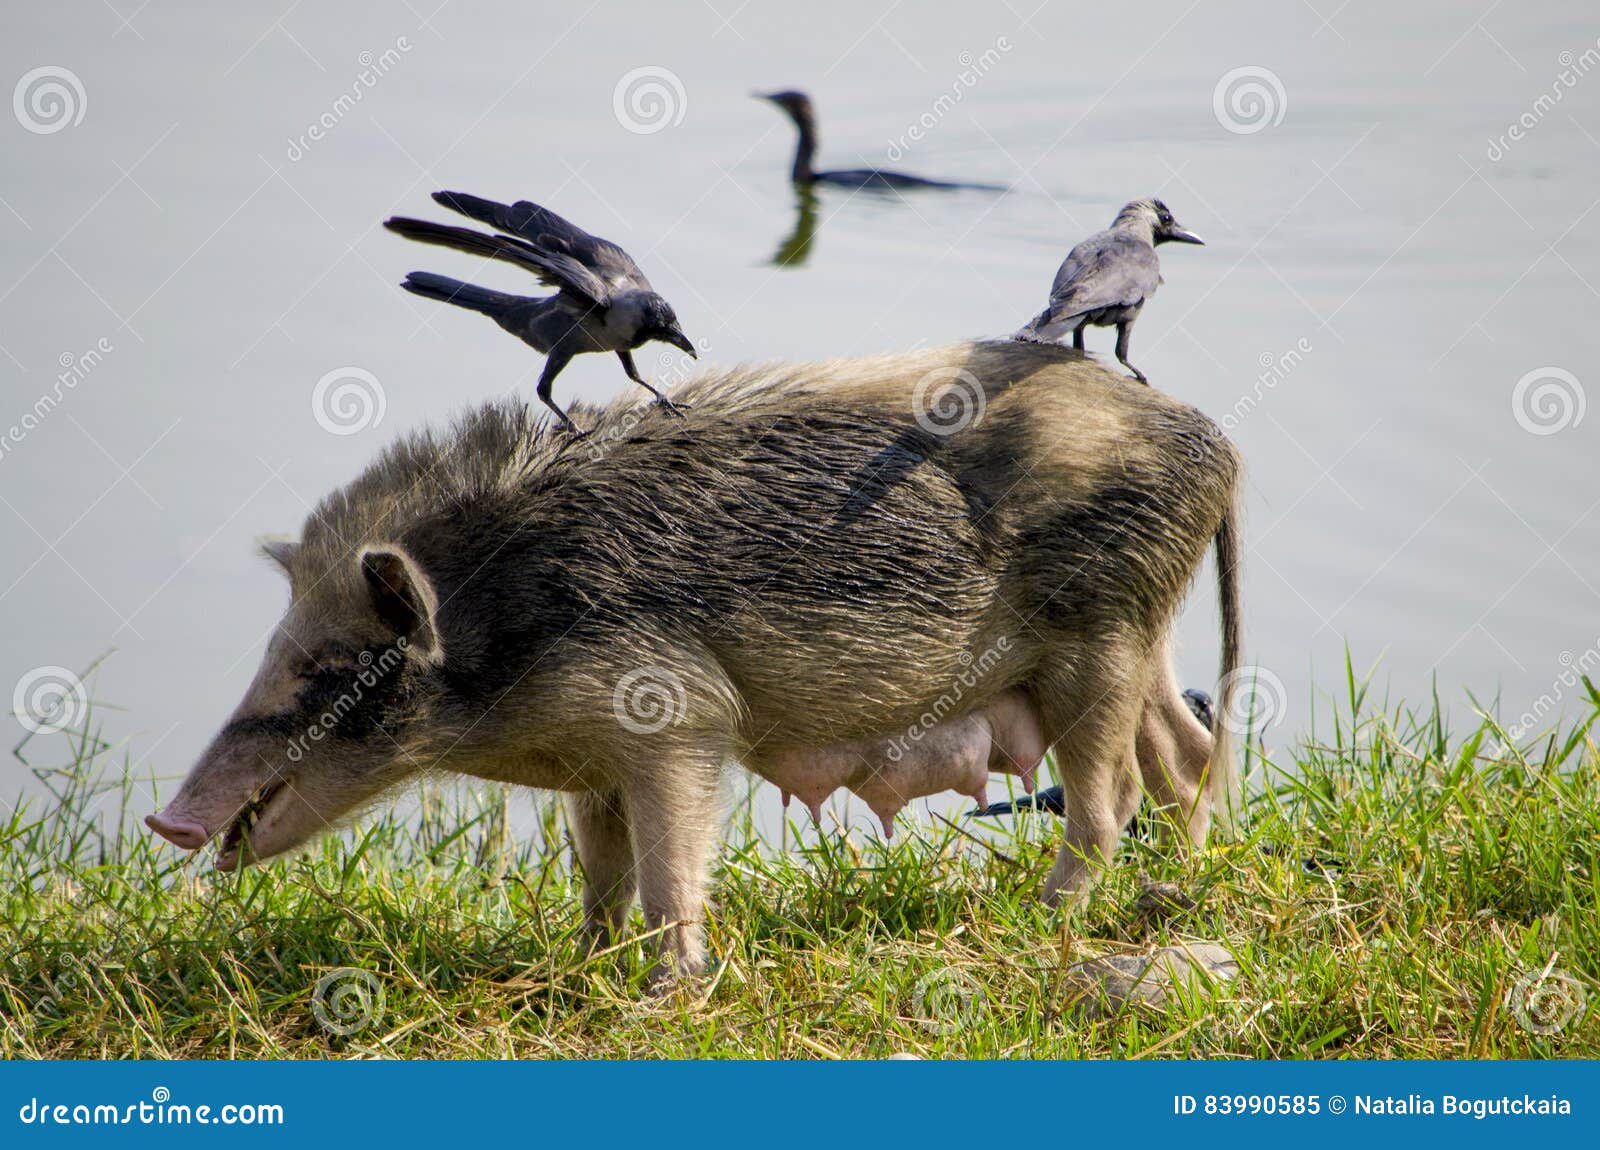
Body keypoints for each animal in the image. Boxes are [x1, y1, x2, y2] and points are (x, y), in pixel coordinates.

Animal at [147, 339, 1242, 987]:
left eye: (333, 666)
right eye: (275, 650)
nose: (168, 820)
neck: (506, 618)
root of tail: (1216, 443)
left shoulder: (673, 716)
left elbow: (673, 871)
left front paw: (669, 989)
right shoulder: (594, 762)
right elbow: (602, 875)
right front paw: (585, 965)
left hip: (1098, 639)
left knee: (1110, 798)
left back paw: (1031, 918)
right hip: (1139, 636)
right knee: (1182, 752)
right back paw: (1175, 891)